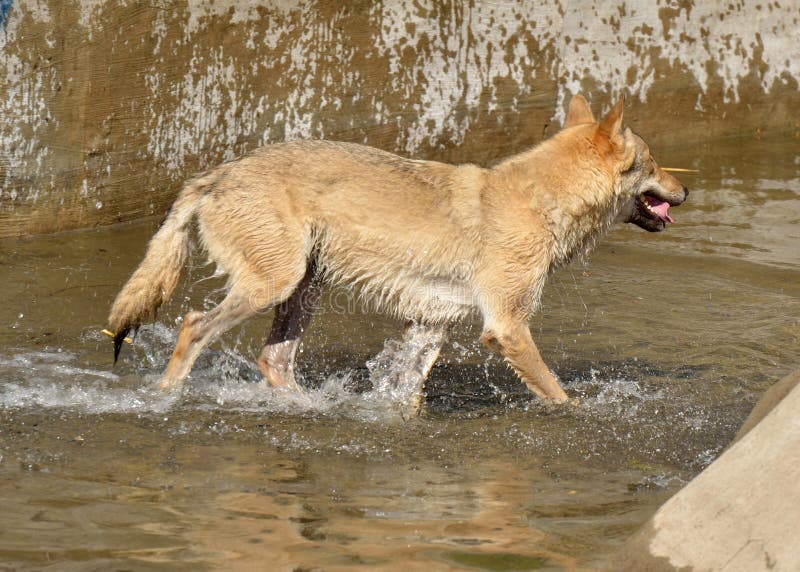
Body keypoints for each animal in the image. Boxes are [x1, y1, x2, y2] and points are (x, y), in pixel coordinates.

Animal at [108, 95, 687, 408]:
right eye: (656, 163)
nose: (687, 190)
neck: (538, 201)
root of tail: (216, 175)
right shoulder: (506, 327)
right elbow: (559, 394)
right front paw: (586, 415)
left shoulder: (433, 325)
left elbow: (406, 393)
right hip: (272, 285)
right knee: (192, 327)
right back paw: (163, 400)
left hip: (303, 289)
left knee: (273, 360)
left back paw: (313, 407)